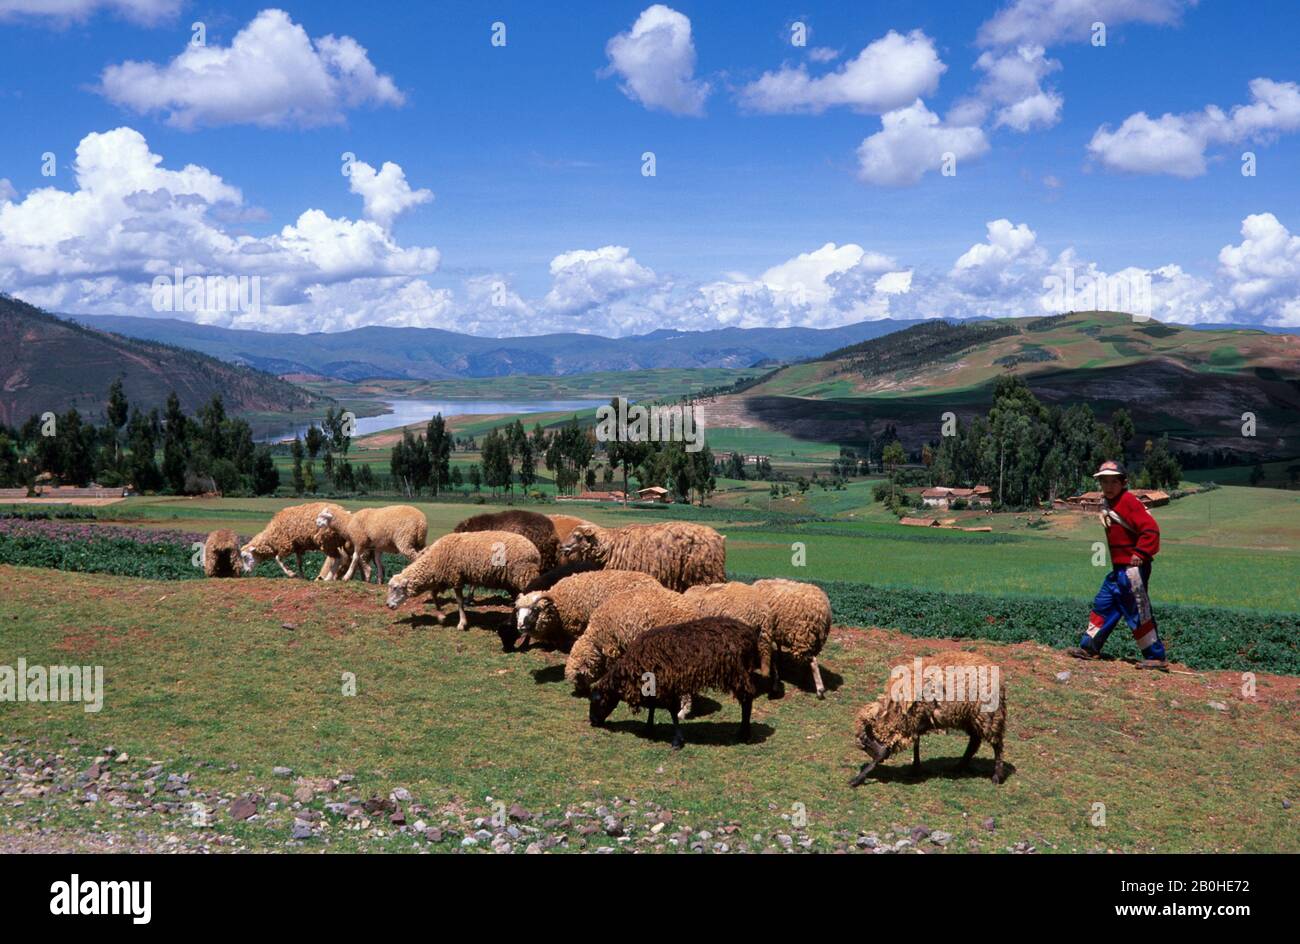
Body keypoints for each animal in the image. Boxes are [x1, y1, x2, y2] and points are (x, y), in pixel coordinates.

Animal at [386, 530, 541, 631]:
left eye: (395, 588)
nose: (387, 605)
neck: (434, 560)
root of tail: (535, 551)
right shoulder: (442, 580)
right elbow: (434, 595)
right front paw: (441, 617)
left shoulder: (456, 578)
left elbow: (459, 602)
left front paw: (462, 624)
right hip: (512, 581)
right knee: (518, 600)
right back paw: (510, 622)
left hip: (523, 576)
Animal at [588, 617, 761, 750]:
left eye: (597, 700)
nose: (593, 722)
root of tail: (750, 634)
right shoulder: (655, 686)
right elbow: (652, 707)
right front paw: (648, 728)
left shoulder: (665, 685)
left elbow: (671, 711)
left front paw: (677, 740)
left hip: (737, 674)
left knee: (747, 700)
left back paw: (744, 734)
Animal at [849, 651, 1006, 786]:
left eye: (869, 748)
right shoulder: (915, 720)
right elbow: (916, 742)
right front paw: (916, 768)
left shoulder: (911, 720)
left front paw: (857, 779)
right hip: (970, 717)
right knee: (975, 741)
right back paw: (958, 767)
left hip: (989, 715)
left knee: (997, 744)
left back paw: (997, 776)